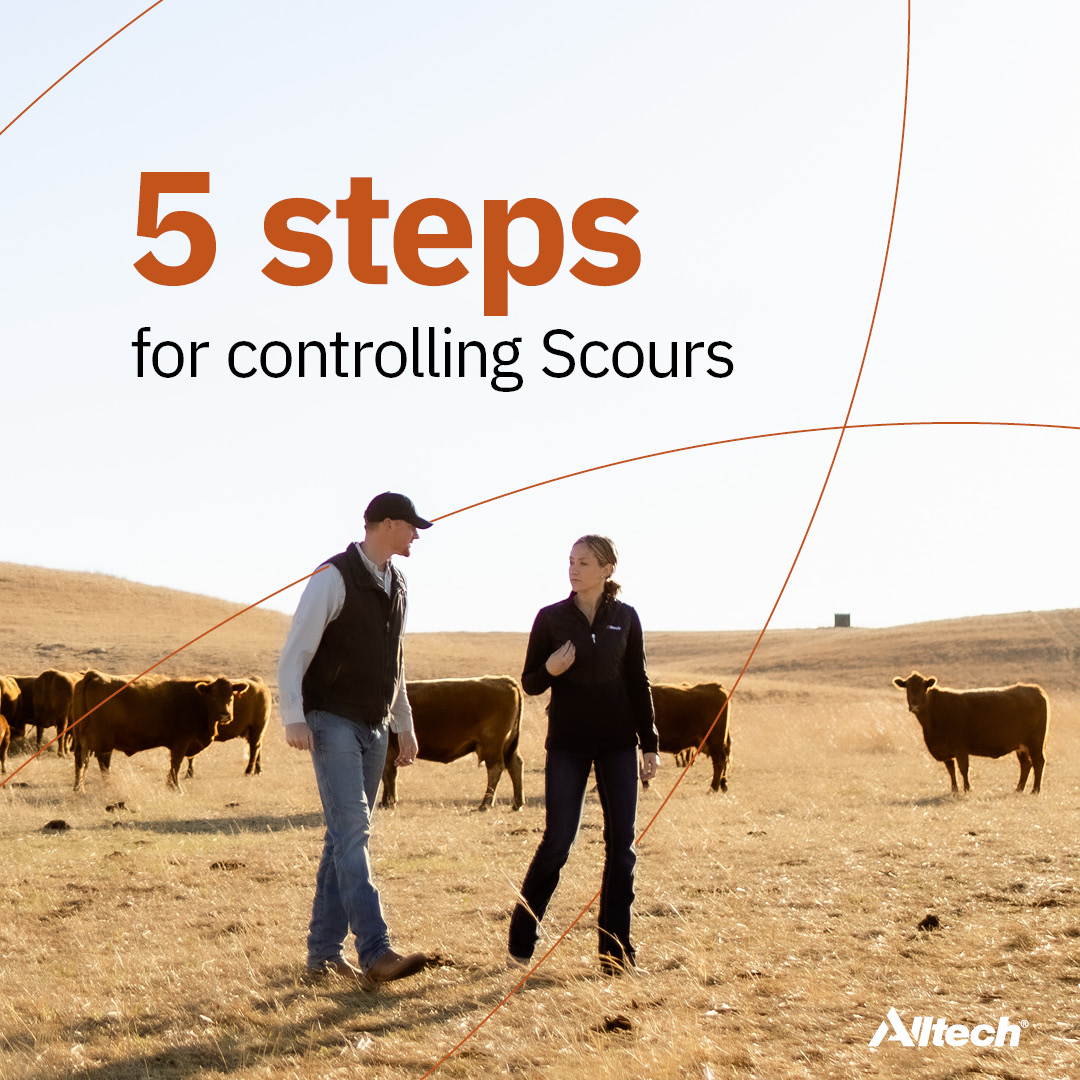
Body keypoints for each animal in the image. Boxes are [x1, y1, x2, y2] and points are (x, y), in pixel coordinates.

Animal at [72, 670, 248, 791]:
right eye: (213, 695)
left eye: (231, 695)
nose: (225, 715)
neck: (197, 700)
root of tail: (94, 675)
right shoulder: (181, 741)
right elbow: (176, 763)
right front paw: (174, 787)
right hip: (105, 741)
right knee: (103, 763)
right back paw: (107, 786)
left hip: (82, 739)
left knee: (81, 762)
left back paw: (79, 789)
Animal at [380, 675, 524, 811]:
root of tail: (503, 680)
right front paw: (384, 802)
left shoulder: (390, 752)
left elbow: (388, 775)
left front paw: (389, 802)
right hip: (506, 746)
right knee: (515, 765)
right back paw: (517, 804)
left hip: (492, 745)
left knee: (495, 769)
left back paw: (485, 804)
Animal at [892, 671, 1049, 794]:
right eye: (908, 688)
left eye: (923, 688)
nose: (914, 706)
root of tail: (1035, 689)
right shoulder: (946, 752)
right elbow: (951, 770)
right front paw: (954, 790)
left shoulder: (960, 748)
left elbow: (963, 769)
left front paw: (967, 789)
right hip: (1021, 746)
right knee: (1026, 764)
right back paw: (1019, 789)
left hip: (1035, 742)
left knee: (1038, 762)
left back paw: (1035, 790)